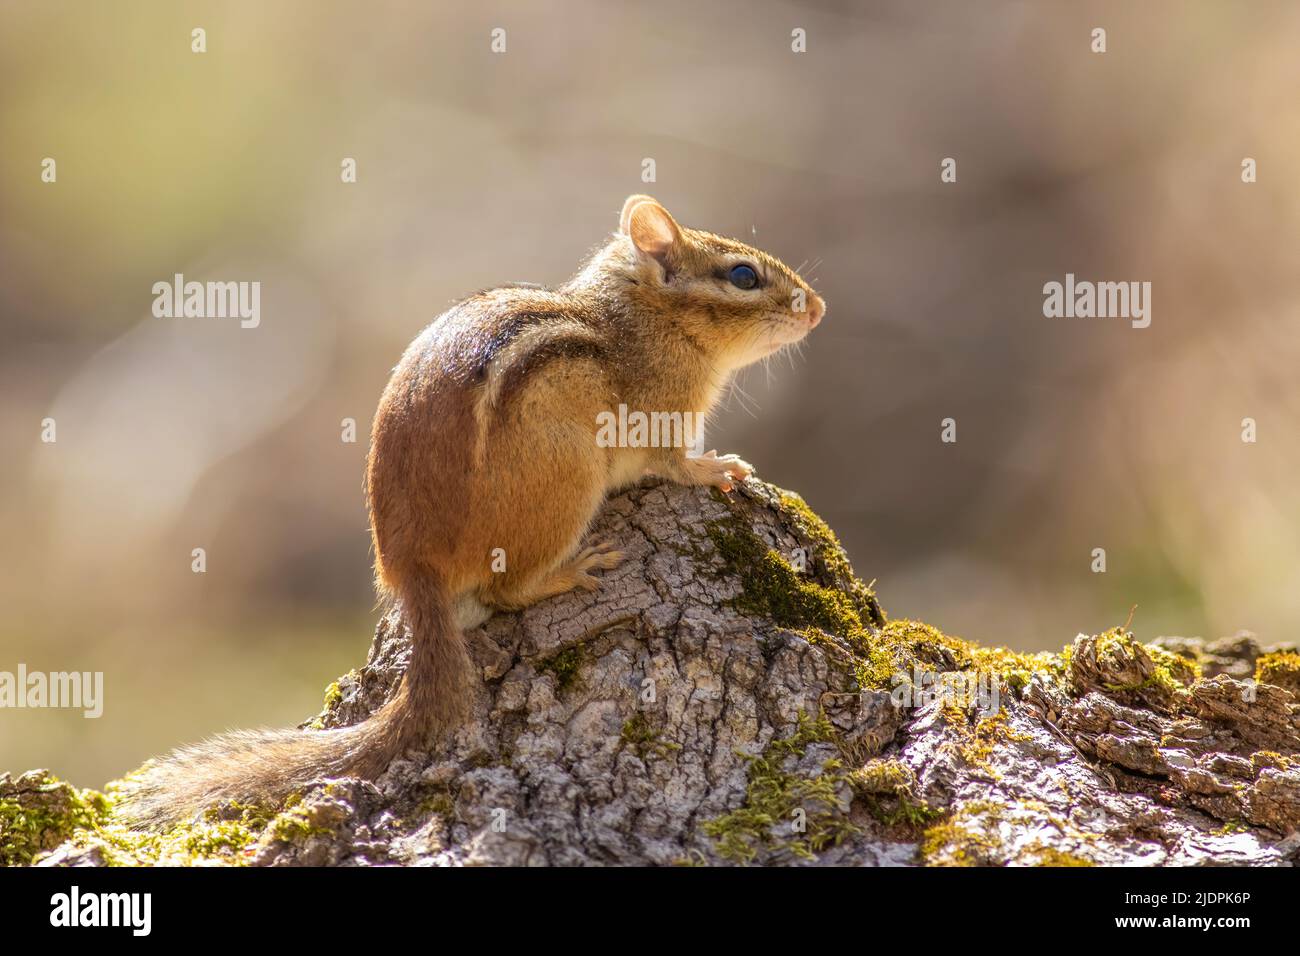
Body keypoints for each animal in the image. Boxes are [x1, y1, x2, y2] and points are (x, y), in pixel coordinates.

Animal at [118, 195, 825, 827]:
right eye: (743, 276)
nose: (817, 307)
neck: (639, 318)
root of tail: (412, 571)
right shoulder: (662, 420)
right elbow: (677, 464)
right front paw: (720, 469)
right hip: (567, 481)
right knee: (509, 591)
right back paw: (574, 568)